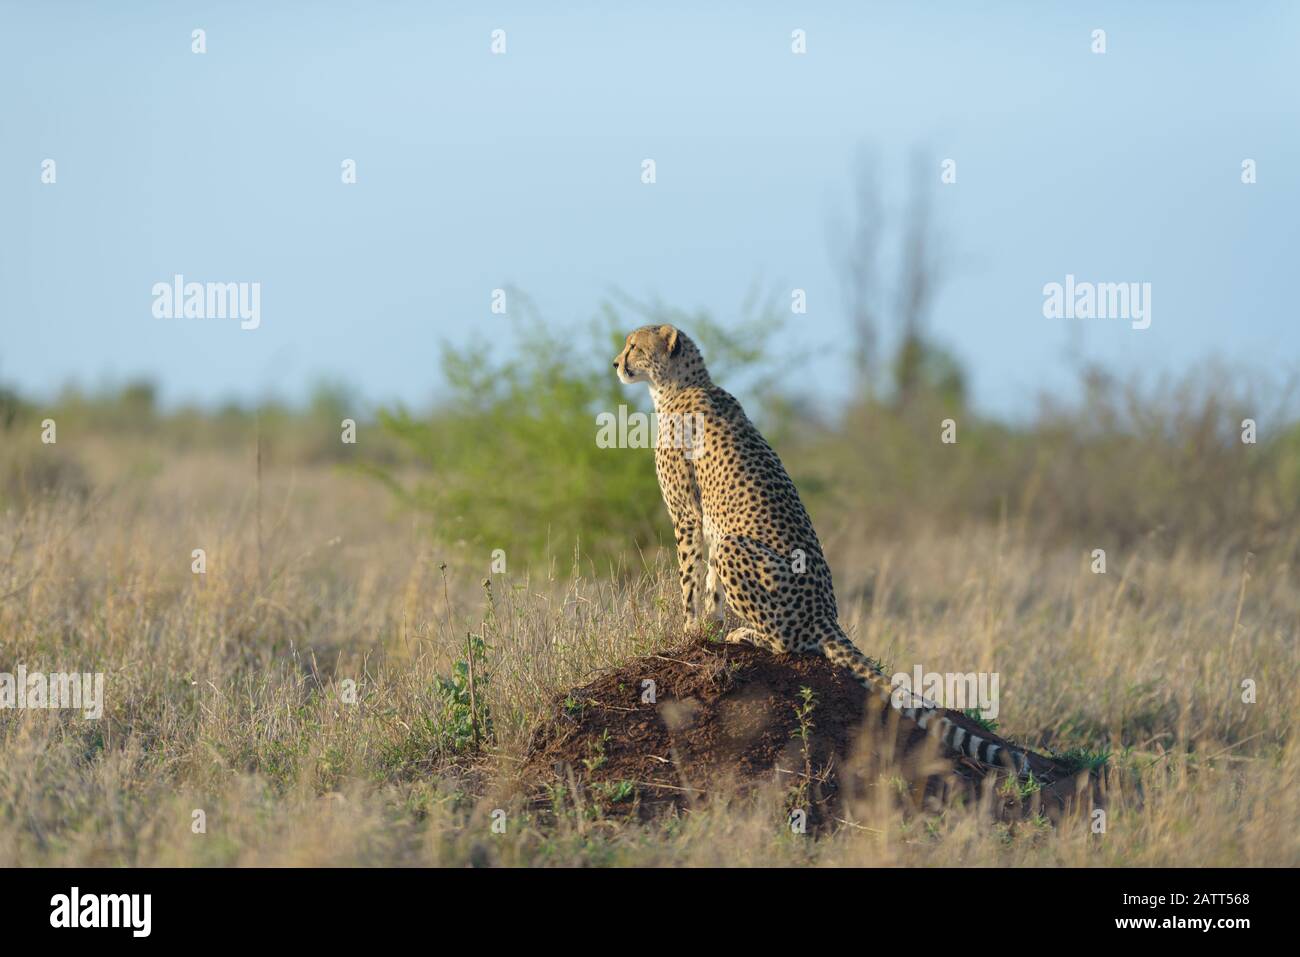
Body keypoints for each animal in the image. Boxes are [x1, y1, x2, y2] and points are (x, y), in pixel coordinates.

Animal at [614, 323, 1034, 777]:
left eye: (634, 345)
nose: (616, 363)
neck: (680, 385)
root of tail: (827, 616)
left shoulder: (688, 516)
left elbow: (689, 580)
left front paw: (690, 630)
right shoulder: (706, 520)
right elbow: (708, 586)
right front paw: (708, 627)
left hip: (735, 547)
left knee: (787, 642)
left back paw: (748, 634)